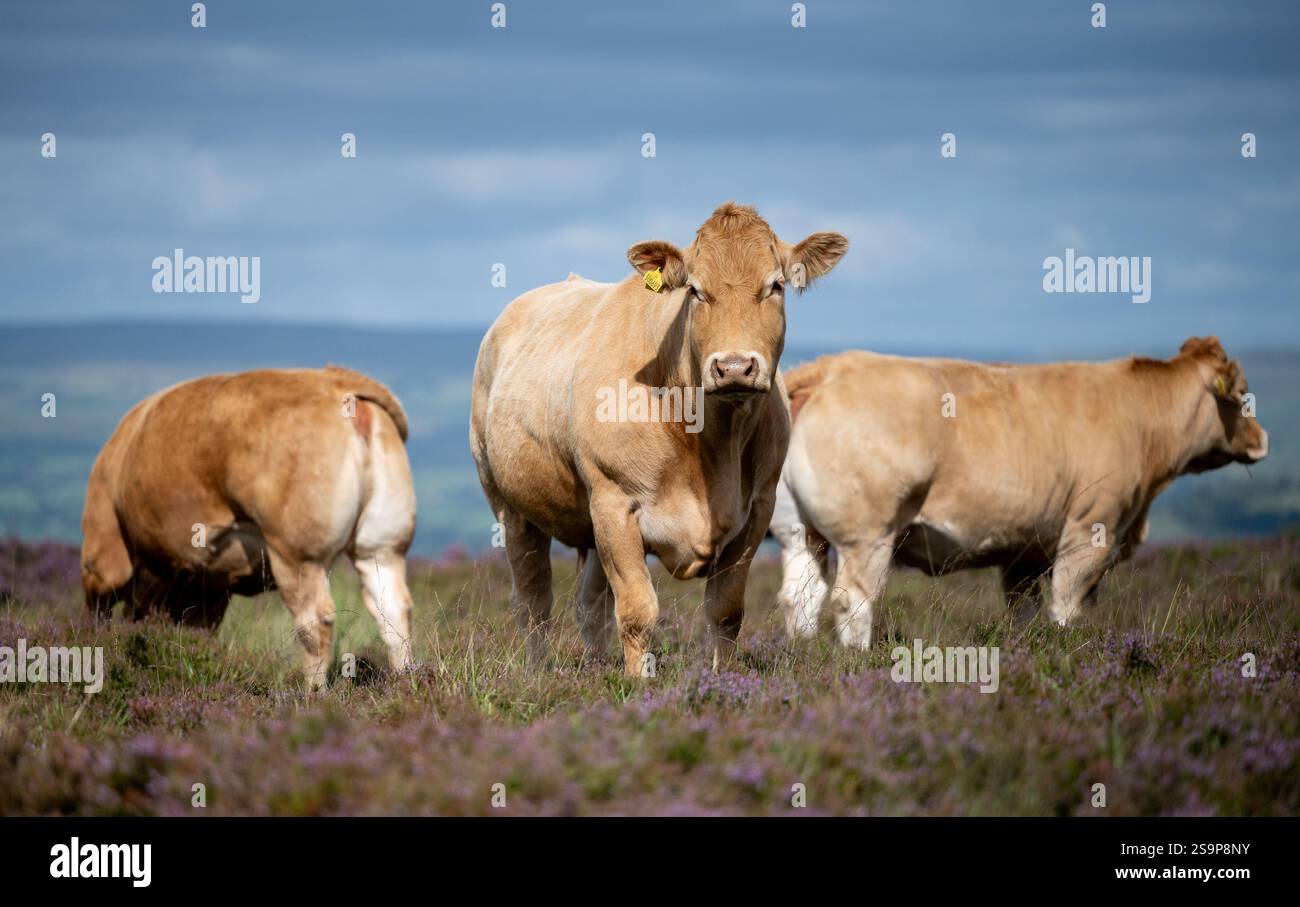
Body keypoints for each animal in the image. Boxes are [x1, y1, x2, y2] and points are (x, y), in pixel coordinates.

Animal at [80, 365, 417, 688]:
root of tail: (334, 380)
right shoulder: (211, 587)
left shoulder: (105, 552)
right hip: (382, 546)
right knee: (393, 612)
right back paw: (404, 681)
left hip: (297, 553)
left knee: (315, 621)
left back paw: (313, 694)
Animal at [470, 203, 849, 675]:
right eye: (696, 291)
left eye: (775, 285)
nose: (735, 367)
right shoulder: (614, 502)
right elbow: (637, 610)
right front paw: (637, 681)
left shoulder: (758, 509)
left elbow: (726, 610)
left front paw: (722, 676)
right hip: (510, 504)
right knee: (533, 599)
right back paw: (539, 669)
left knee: (589, 604)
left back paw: (596, 664)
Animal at [771, 336, 1269, 646]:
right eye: (1241, 391)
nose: (1262, 439)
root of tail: (829, 368)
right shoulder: (1091, 526)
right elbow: (1066, 604)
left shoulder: (1023, 551)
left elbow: (1023, 612)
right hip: (868, 533)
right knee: (851, 599)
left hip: (800, 531)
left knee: (801, 598)